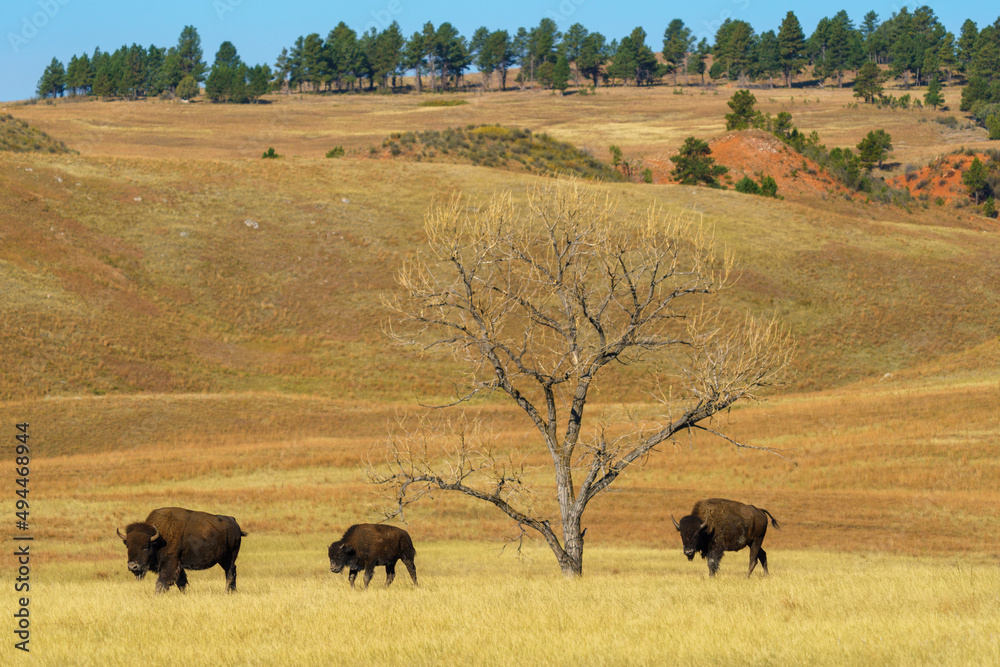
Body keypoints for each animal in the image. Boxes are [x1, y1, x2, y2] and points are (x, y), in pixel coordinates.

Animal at [117, 507, 246, 593]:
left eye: (145, 546)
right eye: (128, 546)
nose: (133, 566)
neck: (159, 539)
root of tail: (233, 521)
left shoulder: (170, 564)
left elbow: (161, 583)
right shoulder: (178, 566)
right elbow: (181, 582)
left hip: (230, 557)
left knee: (230, 572)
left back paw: (227, 591)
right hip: (222, 559)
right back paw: (232, 591)